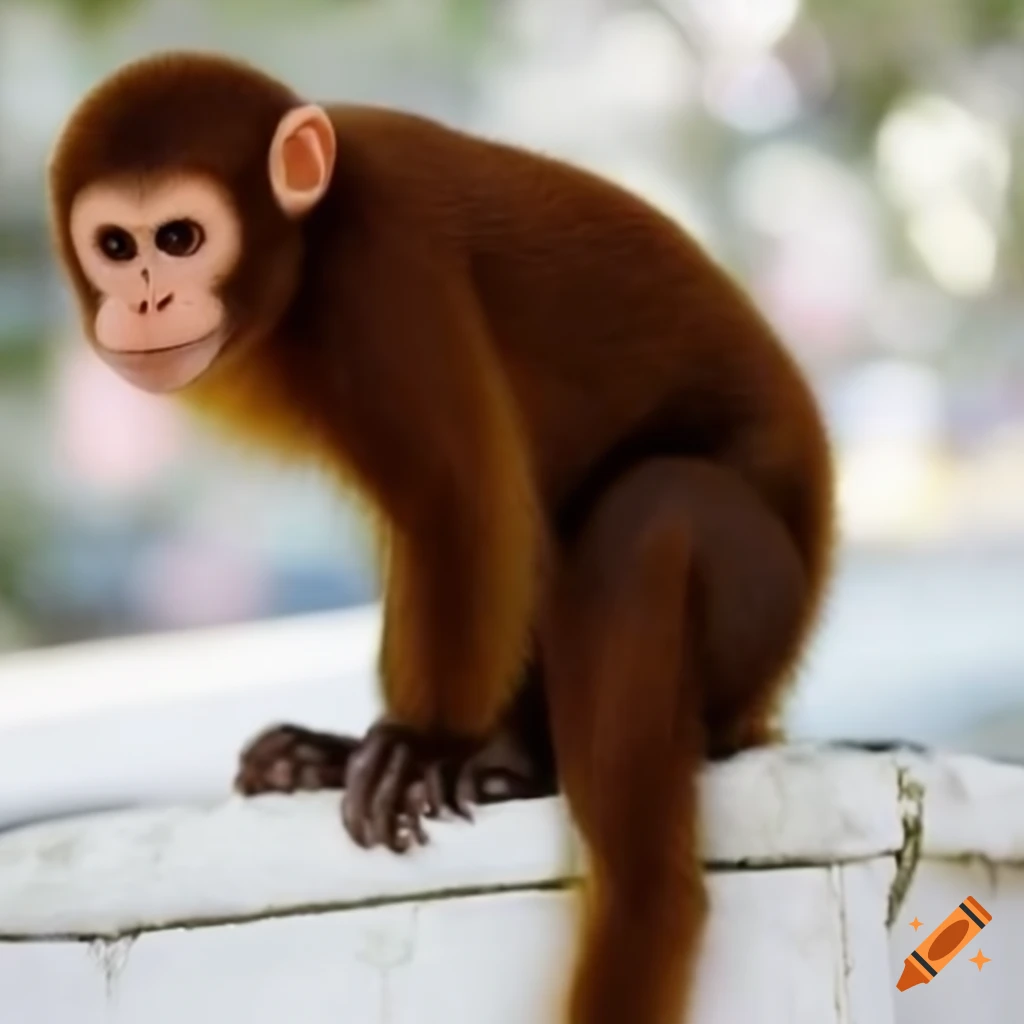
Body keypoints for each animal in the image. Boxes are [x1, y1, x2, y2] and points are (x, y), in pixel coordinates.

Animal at [48, 51, 835, 1024]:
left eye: (181, 237)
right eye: (118, 247)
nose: (146, 297)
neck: (308, 243)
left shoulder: (382, 259)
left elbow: (453, 501)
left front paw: (421, 741)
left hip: (757, 633)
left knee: (655, 511)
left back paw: (624, 874)